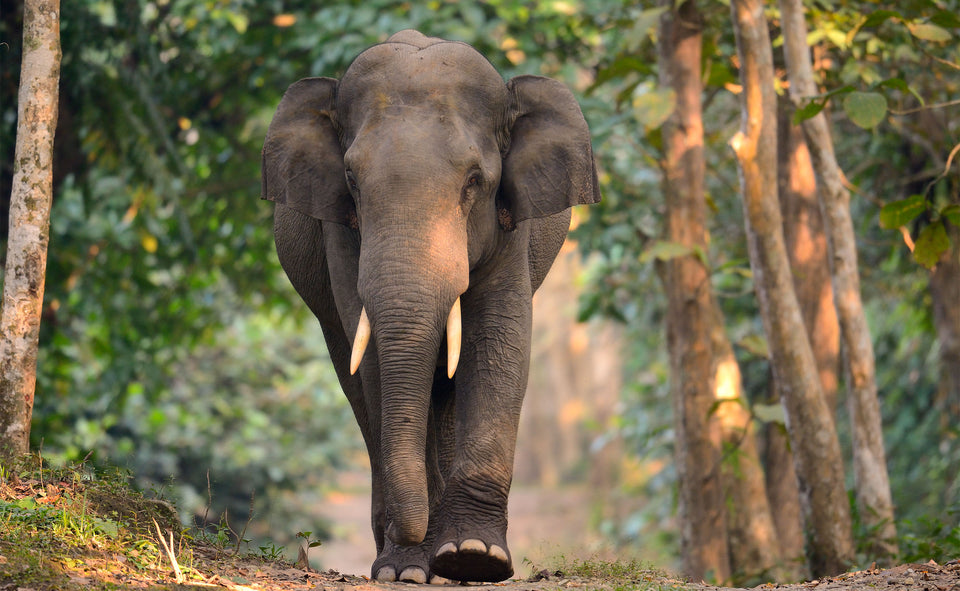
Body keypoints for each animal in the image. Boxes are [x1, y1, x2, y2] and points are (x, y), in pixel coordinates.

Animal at [261, 30, 600, 583]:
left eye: (474, 181)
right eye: (351, 181)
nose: (412, 536)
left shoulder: (513, 222)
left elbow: (499, 338)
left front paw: (474, 556)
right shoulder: (338, 231)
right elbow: (374, 353)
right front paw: (407, 570)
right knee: (358, 388)